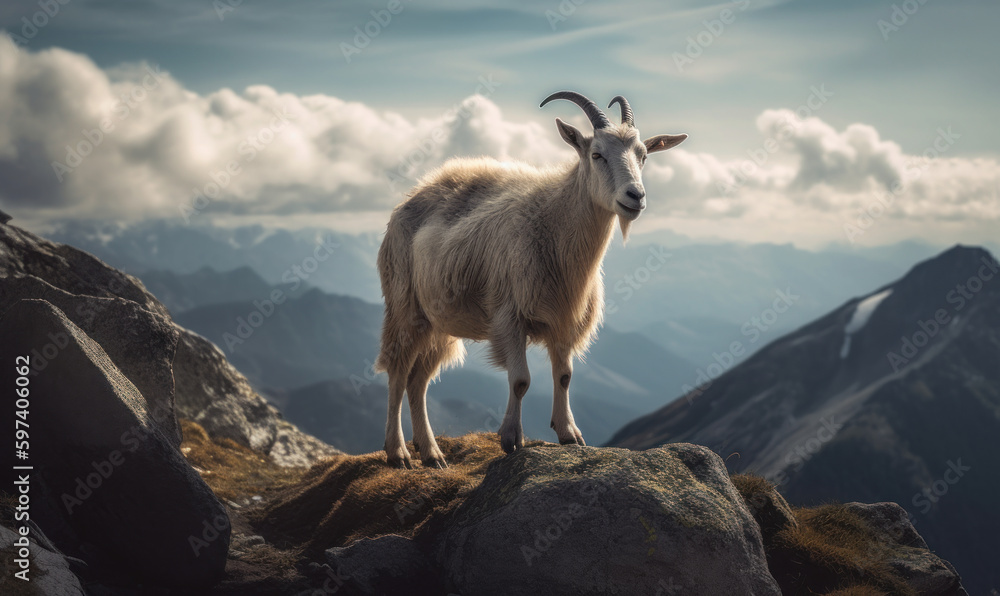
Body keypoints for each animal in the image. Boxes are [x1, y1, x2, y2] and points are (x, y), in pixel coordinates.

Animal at [375, 91, 687, 468]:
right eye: (596, 154)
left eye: (643, 156)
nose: (635, 197)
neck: (553, 221)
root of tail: (409, 199)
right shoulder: (509, 316)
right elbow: (520, 380)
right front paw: (511, 438)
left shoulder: (566, 318)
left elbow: (564, 376)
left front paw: (569, 435)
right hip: (405, 307)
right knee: (397, 374)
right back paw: (398, 453)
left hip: (438, 322)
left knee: (417, 382)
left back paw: (432, 453)